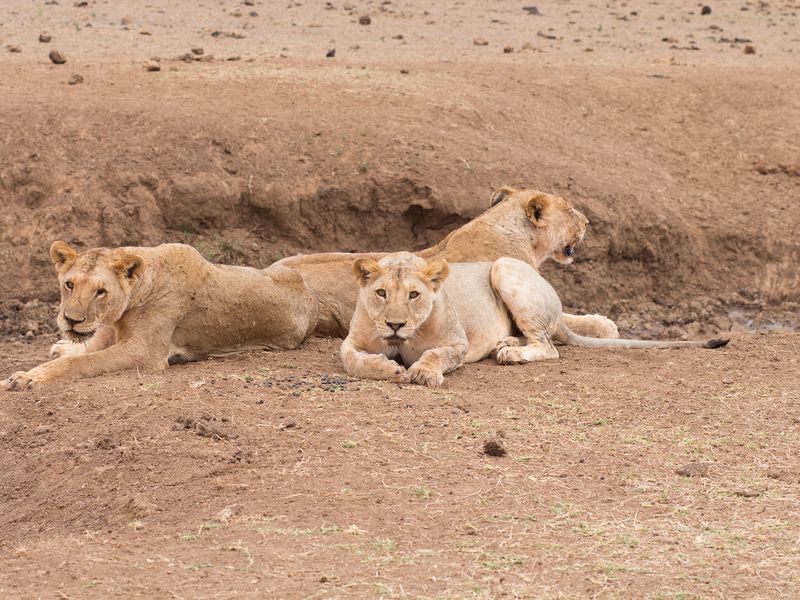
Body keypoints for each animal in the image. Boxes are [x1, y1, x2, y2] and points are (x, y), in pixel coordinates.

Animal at [4, 242, 316, 390]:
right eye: (69, 284)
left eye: (101, 291)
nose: (71, 319)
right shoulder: (106, 334)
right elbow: (80, 353)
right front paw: (28, 372)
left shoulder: (144, 352)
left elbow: (81, 363)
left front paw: (28, 379)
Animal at [341, 253, 728, 387]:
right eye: (381, 293)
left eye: (414, 295)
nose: (394, 324)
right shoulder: (352, 341)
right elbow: (351, 359)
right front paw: (386, 368)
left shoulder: (457, 342)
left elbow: (436, 354)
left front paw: (421, 371)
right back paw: (505, 343)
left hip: (503, 266)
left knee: (548, 346)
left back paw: (511, 352)